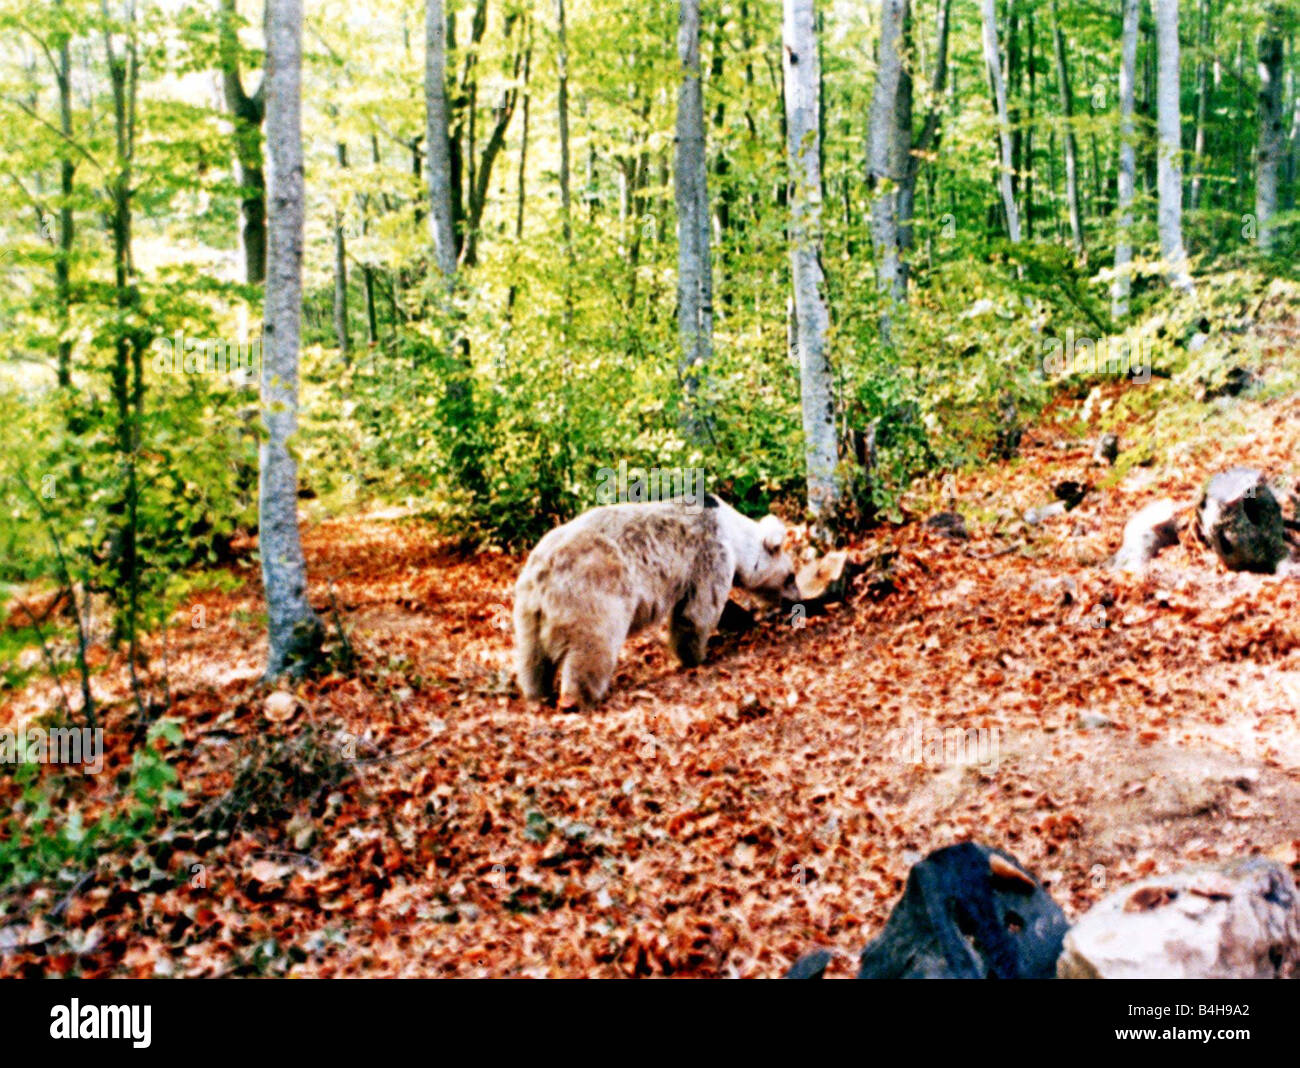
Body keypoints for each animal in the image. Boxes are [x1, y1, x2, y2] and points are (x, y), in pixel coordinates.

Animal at [513, 494, 799, 709]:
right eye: (791, 576)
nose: (797, 599)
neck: (733, 532)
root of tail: (545, 571)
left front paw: (742, 619)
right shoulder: (708, 554)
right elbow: (698, 611)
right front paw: (697, 655)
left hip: (528, 608)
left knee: (532, 657)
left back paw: (538, 693)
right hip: (593, 593)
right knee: (592, 646)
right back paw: (578, 698)